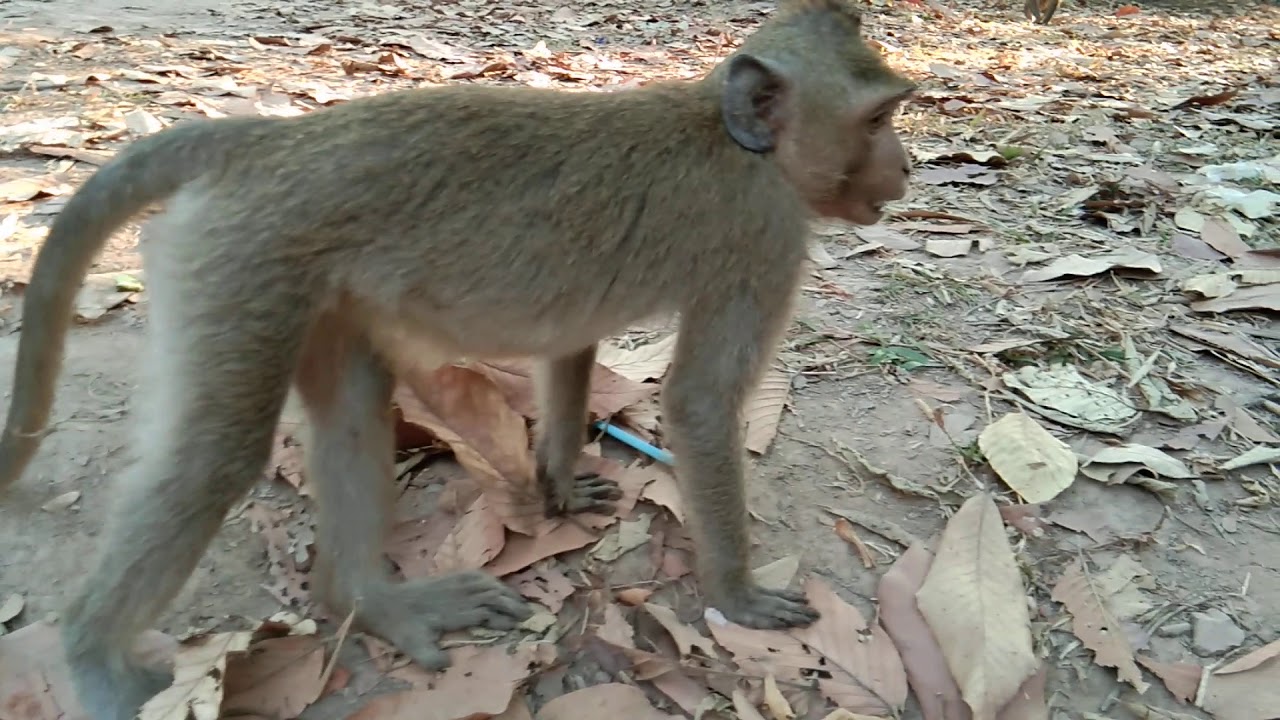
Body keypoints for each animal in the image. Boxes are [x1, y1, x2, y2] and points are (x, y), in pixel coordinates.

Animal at [0, 1, 914, 717]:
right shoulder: (764, 236)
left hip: (310, 285)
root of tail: (264, 141)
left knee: (353, 406)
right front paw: (735, 594)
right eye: (876, 121)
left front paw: (556, 483)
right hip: (241, 259)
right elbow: (697, 403)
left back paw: (369, 603)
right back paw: (93, 658)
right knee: (211, 459)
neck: (734, 139)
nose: (906, 165)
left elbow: (571, 344)